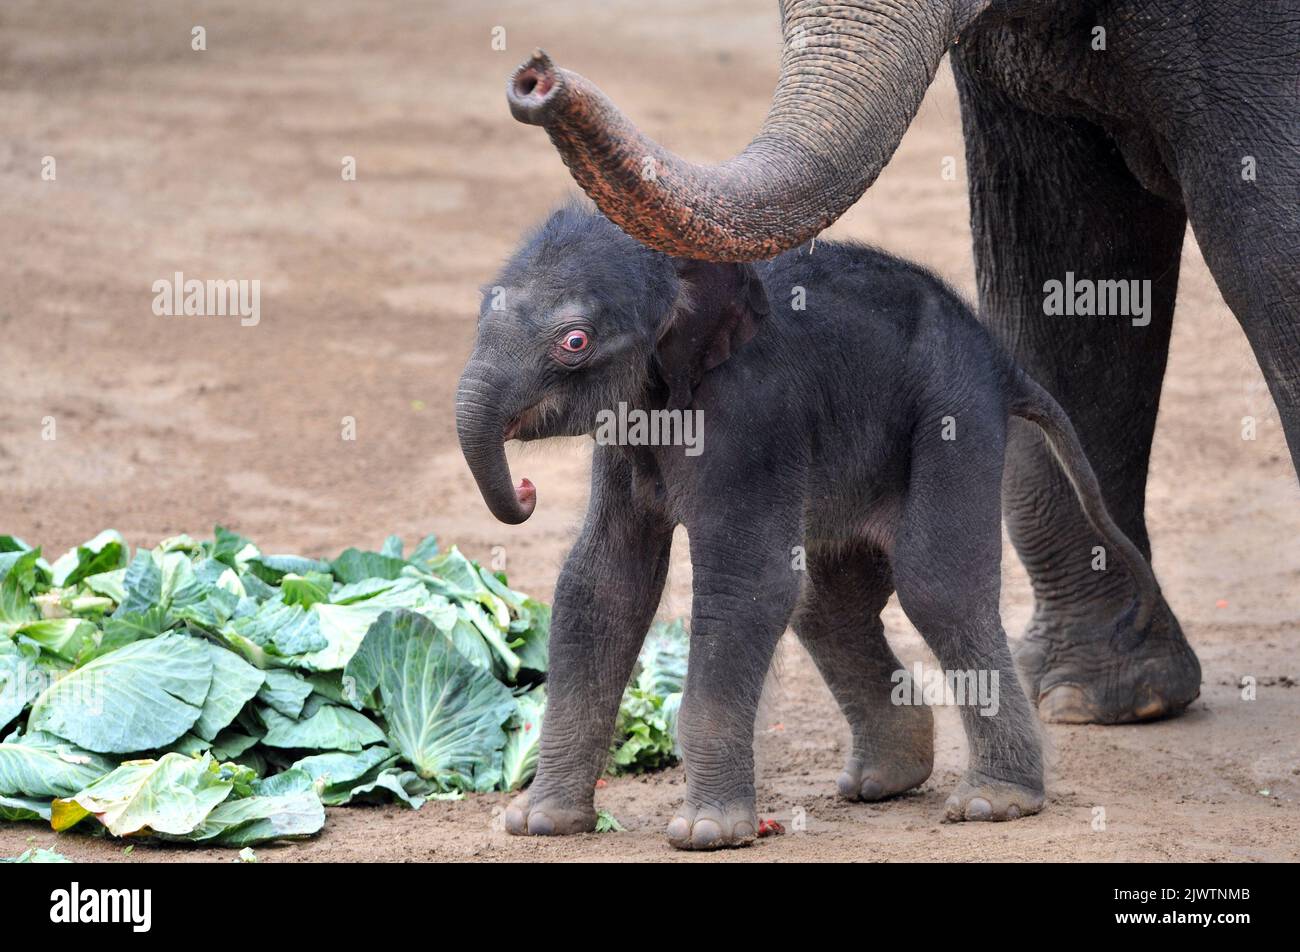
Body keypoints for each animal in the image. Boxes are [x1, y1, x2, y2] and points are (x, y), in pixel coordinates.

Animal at [454, 203, 1160, 848]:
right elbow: (600, 584)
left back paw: (994, 804)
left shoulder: (753, 420)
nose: (526, 492)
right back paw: (883, 781)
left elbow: (749, 584)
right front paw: (540, 824)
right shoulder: (626, 431)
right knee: (830, 604)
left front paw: (706, 834)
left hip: (954, 413)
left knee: (937, 586)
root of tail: (1002, 360)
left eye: (574, 342)